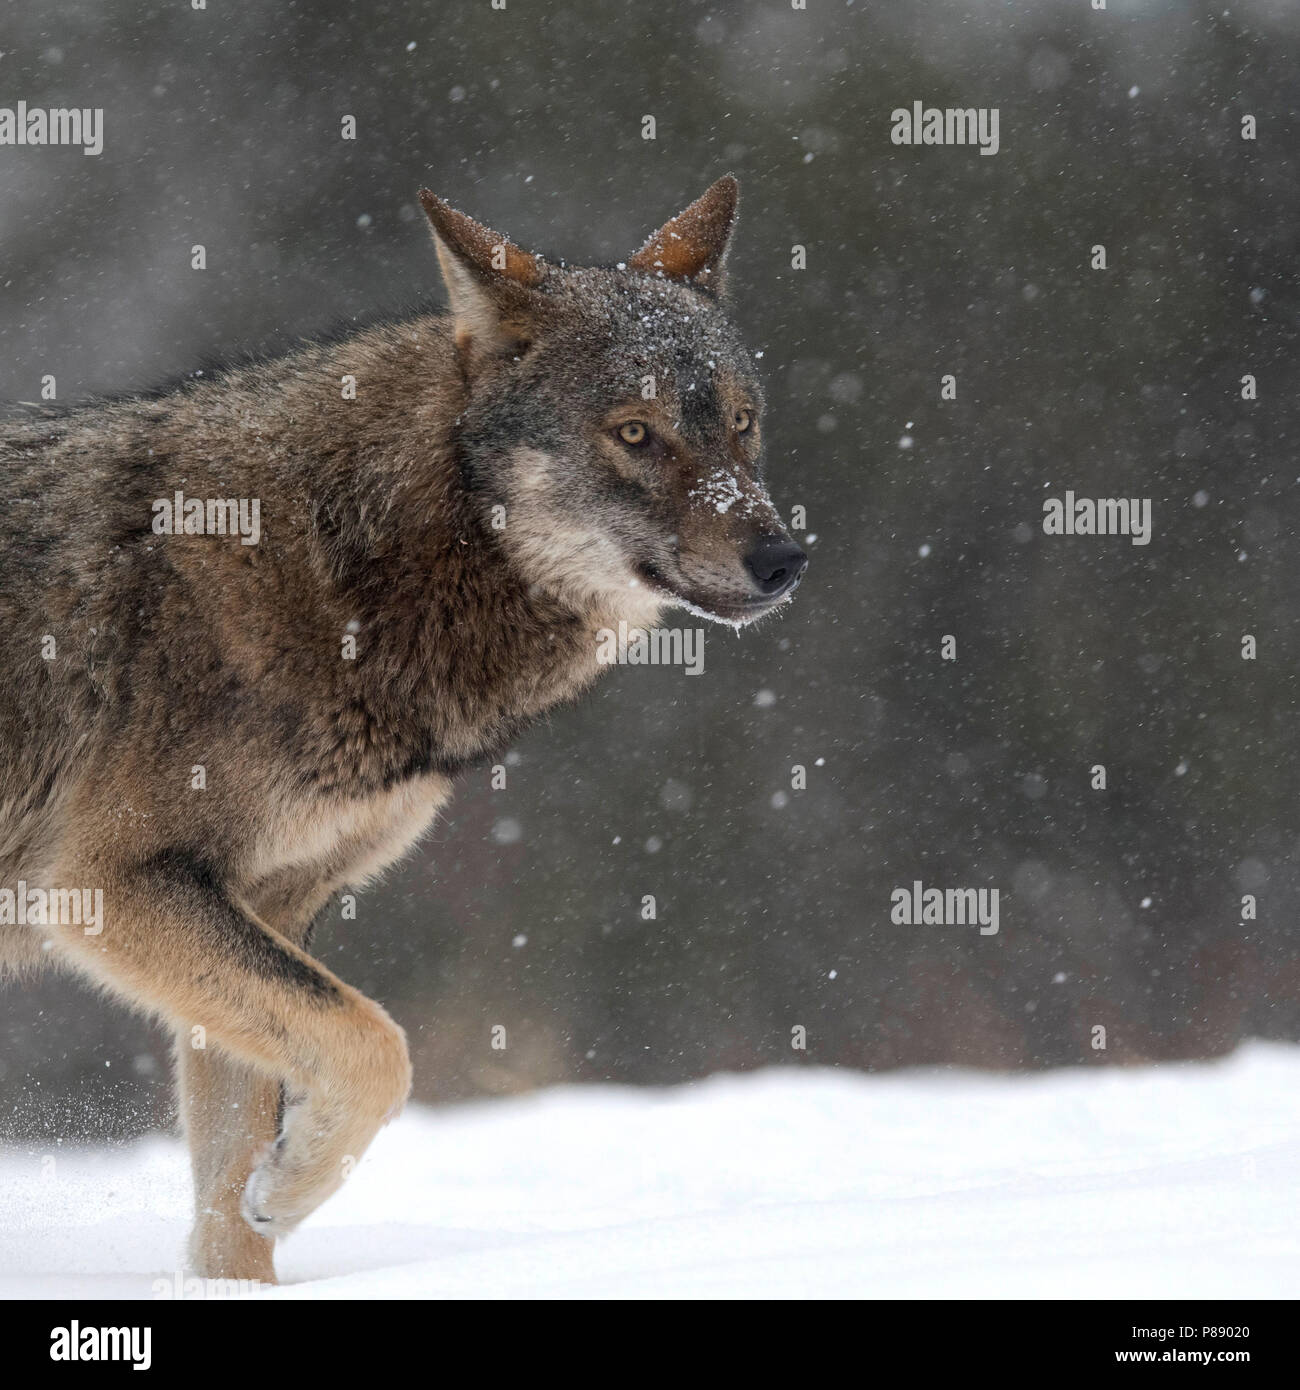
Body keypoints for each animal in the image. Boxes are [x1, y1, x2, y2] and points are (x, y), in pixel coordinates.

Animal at [0, 176, 806, 1282]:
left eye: (740, 424)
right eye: (637, 433)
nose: (784, 558)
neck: (354, 559)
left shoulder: (266, 904)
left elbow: (229, 1194)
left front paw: (255, 1236)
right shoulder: (109, 881)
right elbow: (379, 1048)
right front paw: (291, 1189)